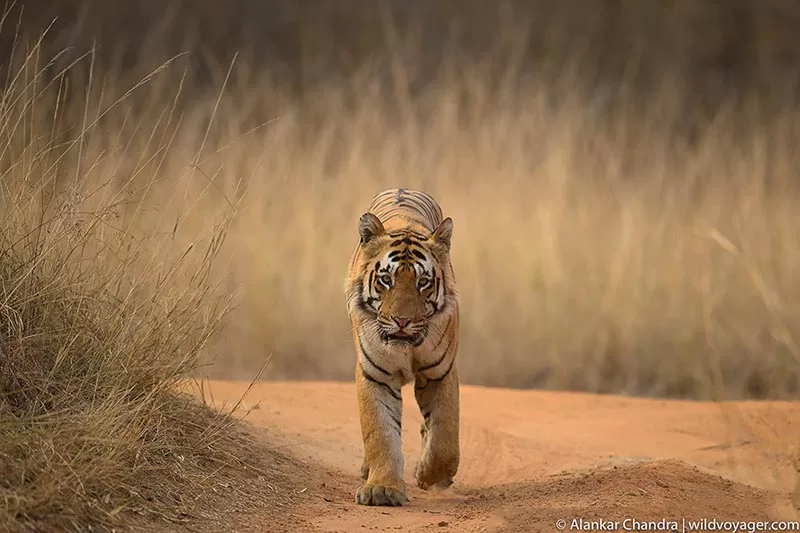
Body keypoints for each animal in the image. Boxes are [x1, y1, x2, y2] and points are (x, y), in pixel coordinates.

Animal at [344, 188, 460, 507]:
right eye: (386, 279)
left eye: (423, 282)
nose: (402, 321)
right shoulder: (375, 375)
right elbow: (380, 433)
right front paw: (382, 489)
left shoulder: (439, 373)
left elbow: (445, 436)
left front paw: (430, 476)